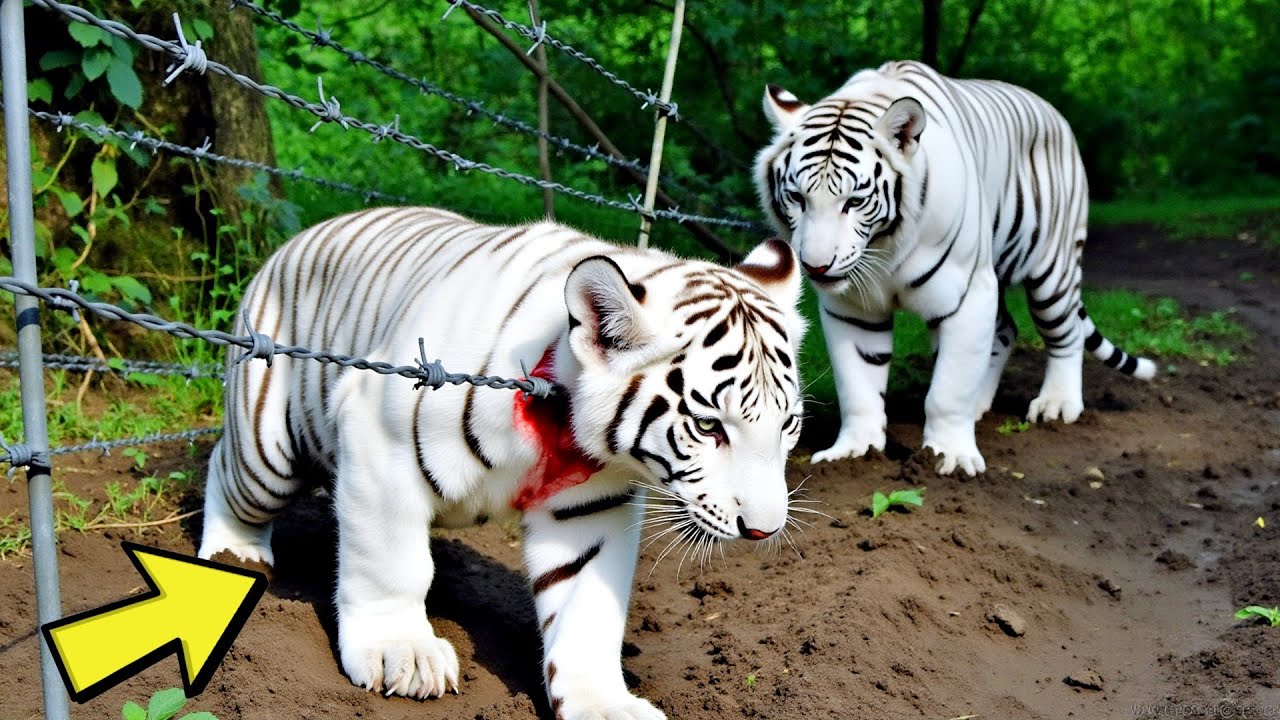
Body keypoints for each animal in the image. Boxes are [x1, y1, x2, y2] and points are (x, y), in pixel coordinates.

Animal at [196, 206, 806, 720]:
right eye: (708, 426)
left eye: (788, 424)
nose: (763, 530)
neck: (565, 419)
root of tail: (302, 235)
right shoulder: (380, 440)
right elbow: (390, 563)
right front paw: (402, 653)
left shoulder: (593, 509)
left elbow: (586, 610)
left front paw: (604, 706)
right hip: (268, 445)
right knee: (225, 470)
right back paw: (235, 555)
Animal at [754, 60, 1156, 476]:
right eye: (797, 197)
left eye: (855, 201)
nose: (816, 266)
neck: (884, 248)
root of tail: (1055, 114)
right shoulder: (852, 308)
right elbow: (858, 386)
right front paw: (855, 451)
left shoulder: (968, 292)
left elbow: (948, 388)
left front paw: (949, 456)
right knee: (1005, 331)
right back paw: (979, 404)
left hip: (1051, 270)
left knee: (1066, 334)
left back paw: (1057, 405)